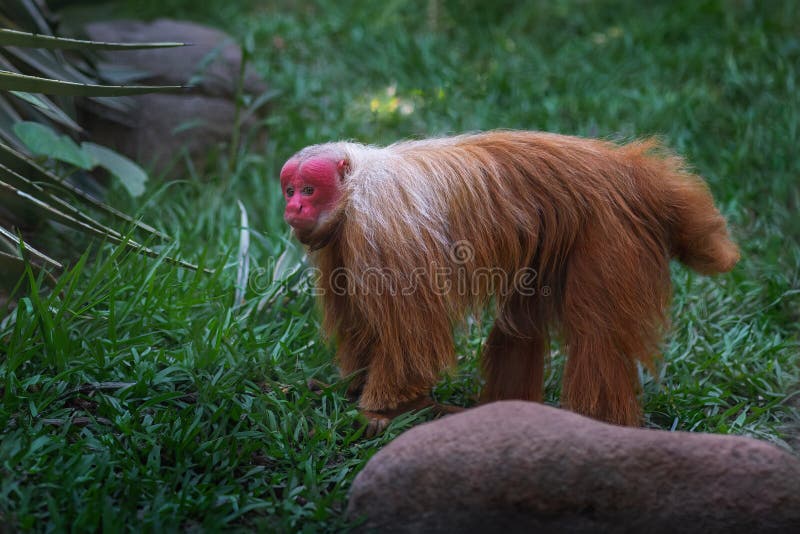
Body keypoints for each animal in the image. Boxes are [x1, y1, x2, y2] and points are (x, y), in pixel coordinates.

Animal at [280, 130, 739, 432]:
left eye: (309, 189)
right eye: (289, 190)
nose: (294, 208)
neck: (354, 187)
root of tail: (630, 169)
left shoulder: (379, 225)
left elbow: (412, 338)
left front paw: (381, 409)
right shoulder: (340, 244)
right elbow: (361, 322)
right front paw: (355, 388)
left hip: (609, 232)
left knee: (597, 335)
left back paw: (599, 425)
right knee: (521, 325)